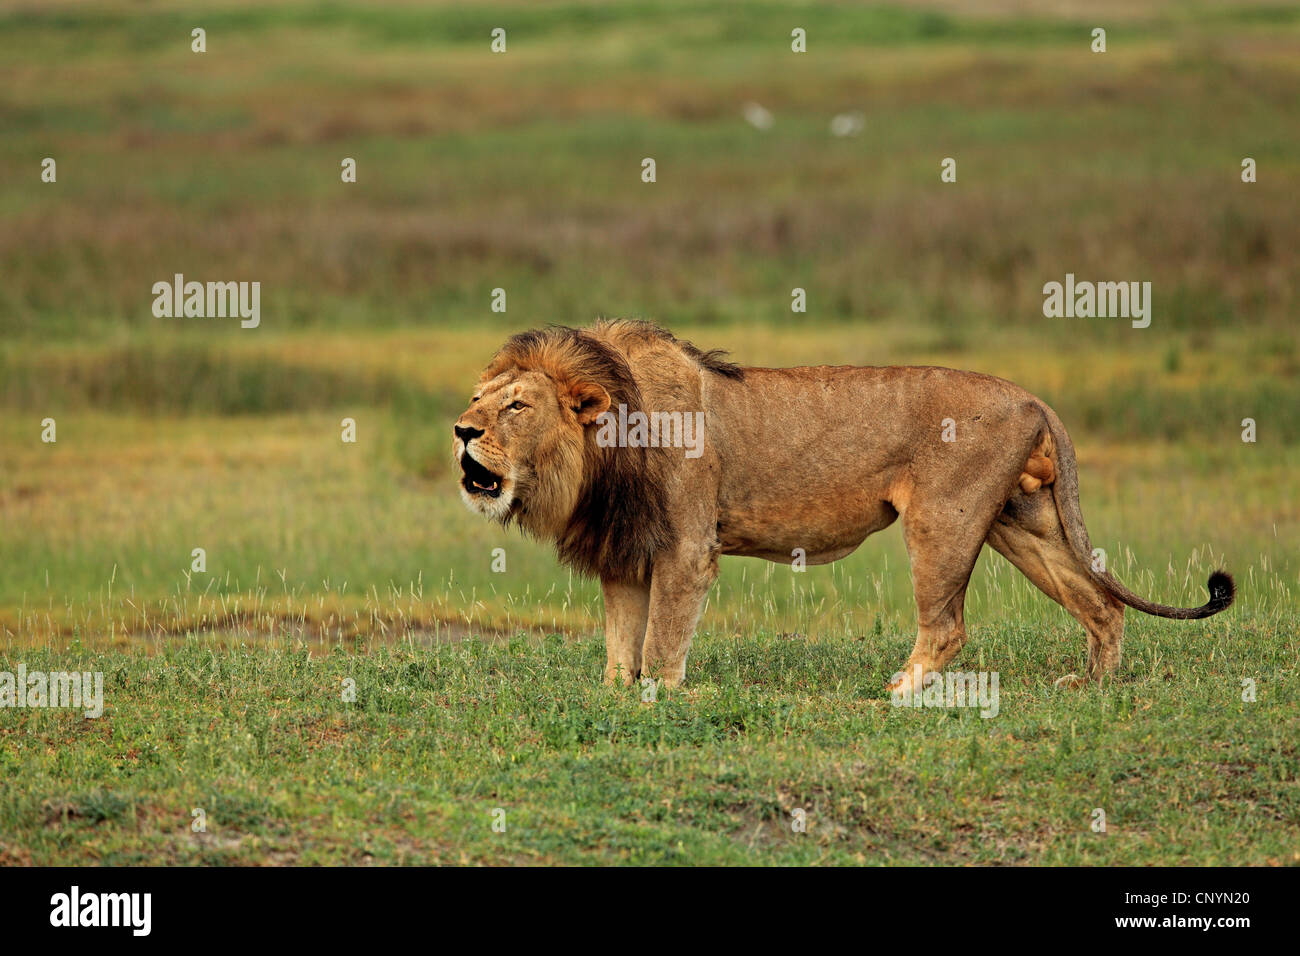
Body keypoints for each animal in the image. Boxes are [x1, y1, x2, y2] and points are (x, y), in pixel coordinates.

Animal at [454, 320, 1235, 693]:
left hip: (943, 521)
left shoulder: (684, 550)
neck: (601, 454)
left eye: (517, 406)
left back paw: (897, 693)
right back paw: (1092, 686)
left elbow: (662, 637)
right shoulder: (625, 551)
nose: (460, 431)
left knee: (948, 625)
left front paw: (663, 697)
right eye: (477, 398)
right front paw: (617, 695)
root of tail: (1033, 396)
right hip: (1023, 523)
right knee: (1100, 604)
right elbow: (622, 640)